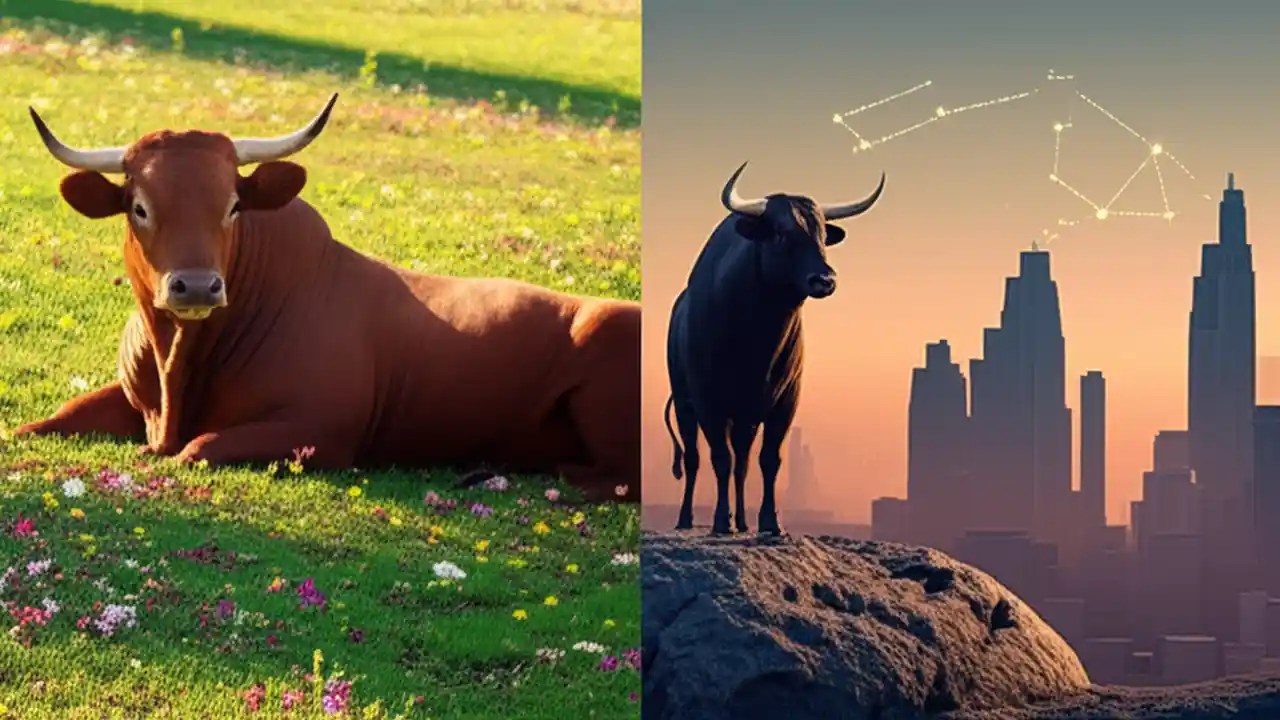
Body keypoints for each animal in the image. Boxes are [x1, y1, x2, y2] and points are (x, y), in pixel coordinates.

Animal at [13, 94, 640, 503]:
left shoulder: (319, 432)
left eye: (233, 205)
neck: (180, 362)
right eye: (139, 206)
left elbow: (196, 448)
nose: (195, 285)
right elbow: (39, 423)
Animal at [664, 161, 884, 534]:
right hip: (684, 403)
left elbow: (769, 460)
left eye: (822, 235)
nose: (824, 280)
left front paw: (769, 521)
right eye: (781, 233)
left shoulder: (785, 401)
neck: (757, 338)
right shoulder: (708, 402)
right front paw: (719, 521)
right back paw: (686, 518)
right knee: (695, 459)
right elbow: (718, 459)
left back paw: (741, 521)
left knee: (742, 462)